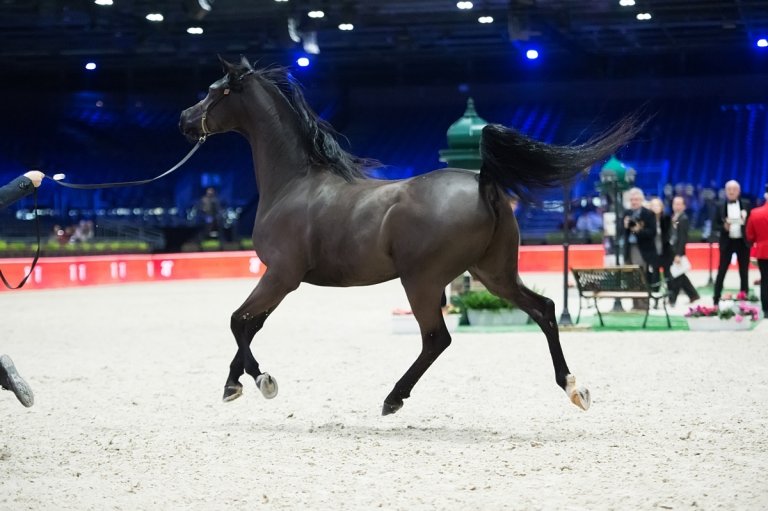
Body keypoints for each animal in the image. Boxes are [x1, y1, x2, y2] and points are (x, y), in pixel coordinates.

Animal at [179, 56, 640, 416]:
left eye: (216, 91)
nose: (184, 120)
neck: (293, 184)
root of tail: (483, 181)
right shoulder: (281, 279)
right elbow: (250, 324)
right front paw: (233, 384)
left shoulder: (282, 275)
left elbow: (238, 321)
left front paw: (261, 382)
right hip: (493, 274)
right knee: (543, 310)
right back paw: (574, 387)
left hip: (422, 281)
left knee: (437, 338)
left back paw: (392, 398)